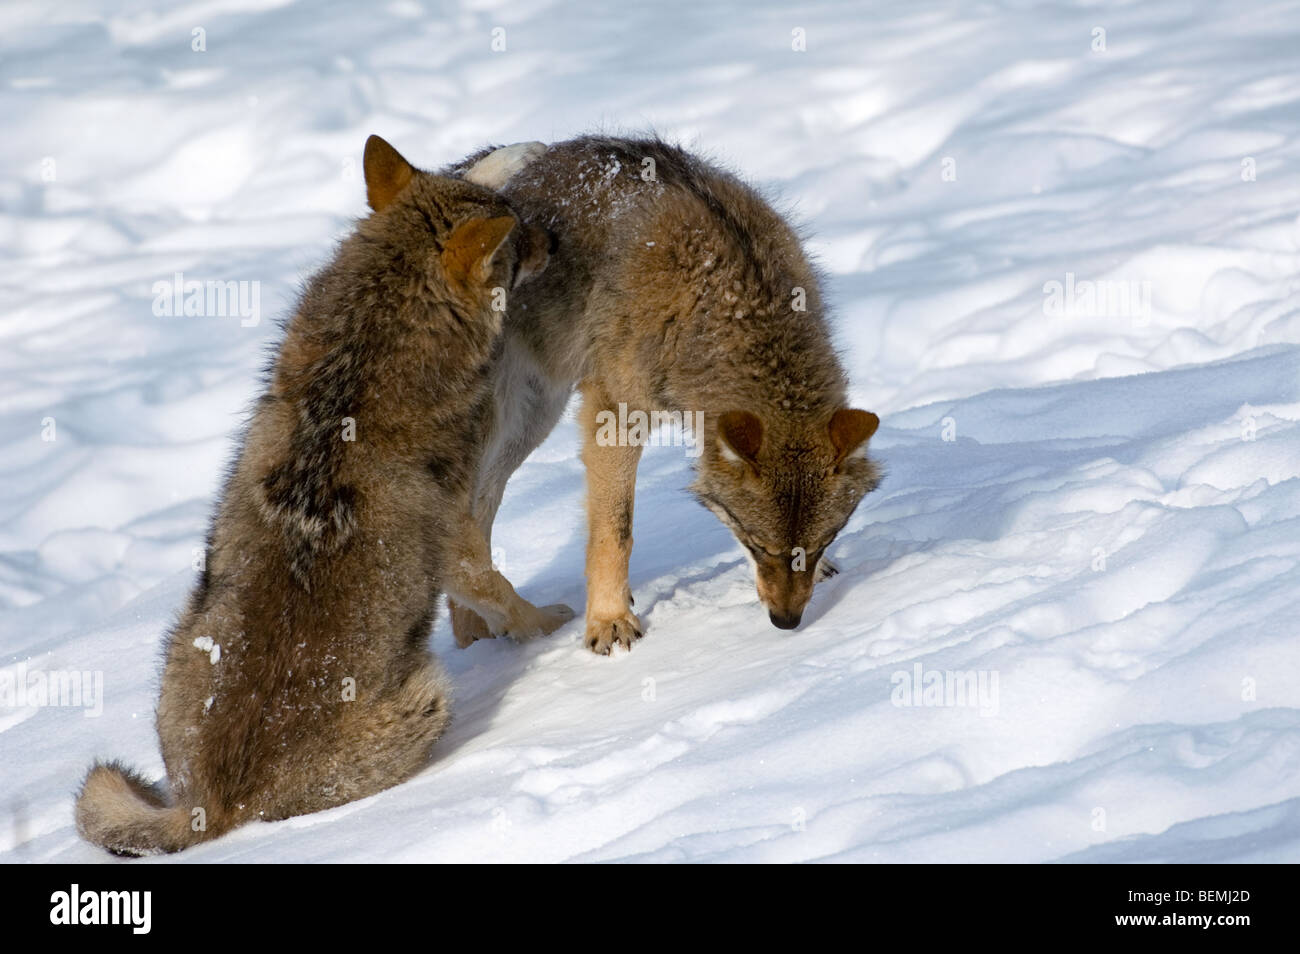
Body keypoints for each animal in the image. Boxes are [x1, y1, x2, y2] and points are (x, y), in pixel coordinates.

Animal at [75, 135, 562, 855]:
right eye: (520, 234)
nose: (556, 239)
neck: (364, 346)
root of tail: (207, 805)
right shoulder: (453, 539)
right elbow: (502, 593)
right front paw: (551, 627)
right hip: (427, 698)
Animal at [445, 136, 882, 654]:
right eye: (757, 543)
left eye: (822, 543)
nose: (786, 622)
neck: (720, 296)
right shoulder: (616, 411)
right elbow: (615, 531)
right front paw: (610, 622)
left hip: (532, 421)